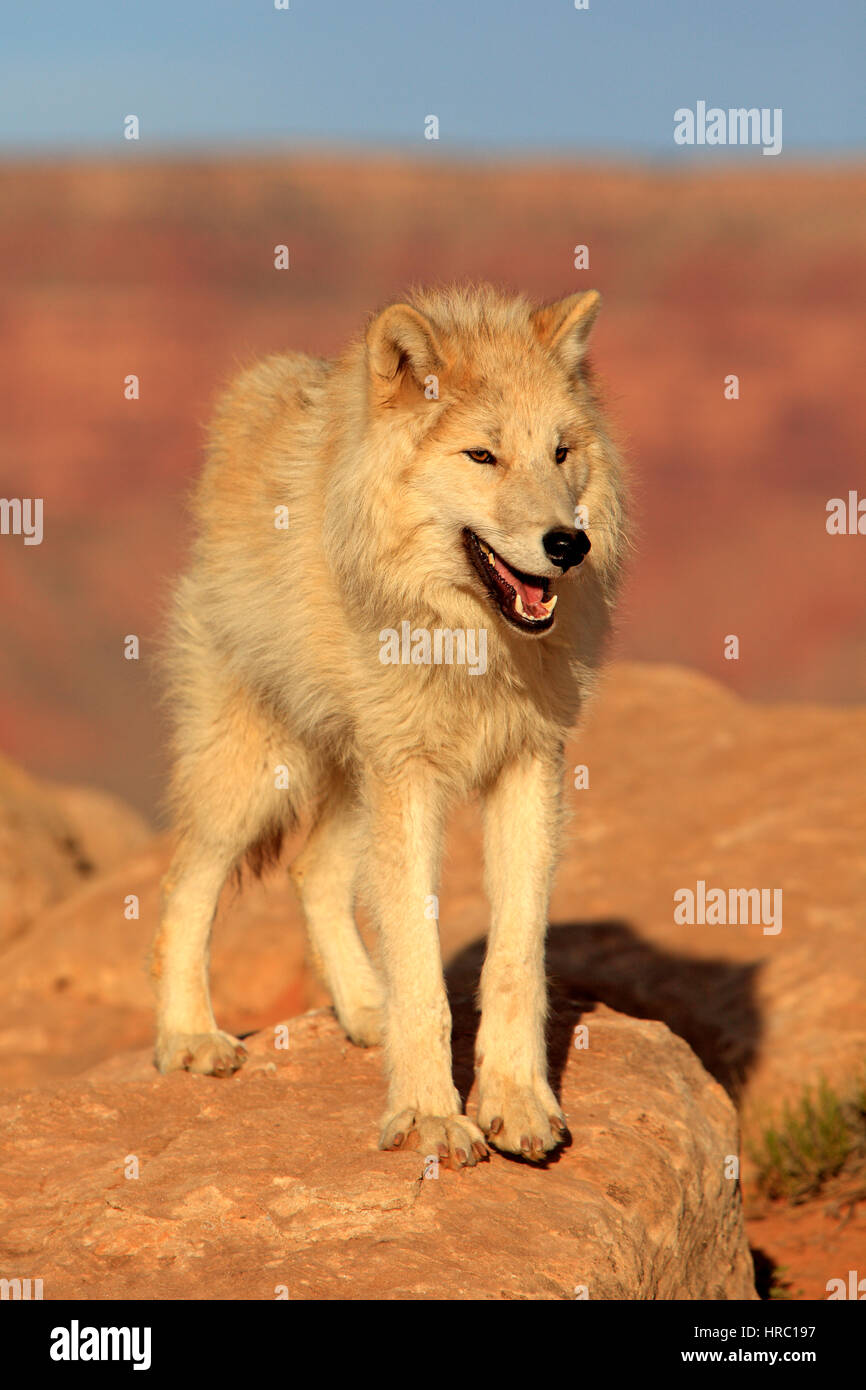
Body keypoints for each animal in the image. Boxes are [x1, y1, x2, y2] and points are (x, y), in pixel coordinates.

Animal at [152, 284, 627, 1166]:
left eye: (560, 453)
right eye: (482, 457)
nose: (567, 543)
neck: (469, 641)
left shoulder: (530, 768)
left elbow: (515, 962)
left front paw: (517, 1104)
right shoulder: (410, 779)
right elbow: (421, 971)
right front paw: (431, 1116)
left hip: (352, 779)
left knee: (310, 871)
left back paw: (363, 1012)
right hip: (261, 773)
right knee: (183, 884)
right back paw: (188, 1038)